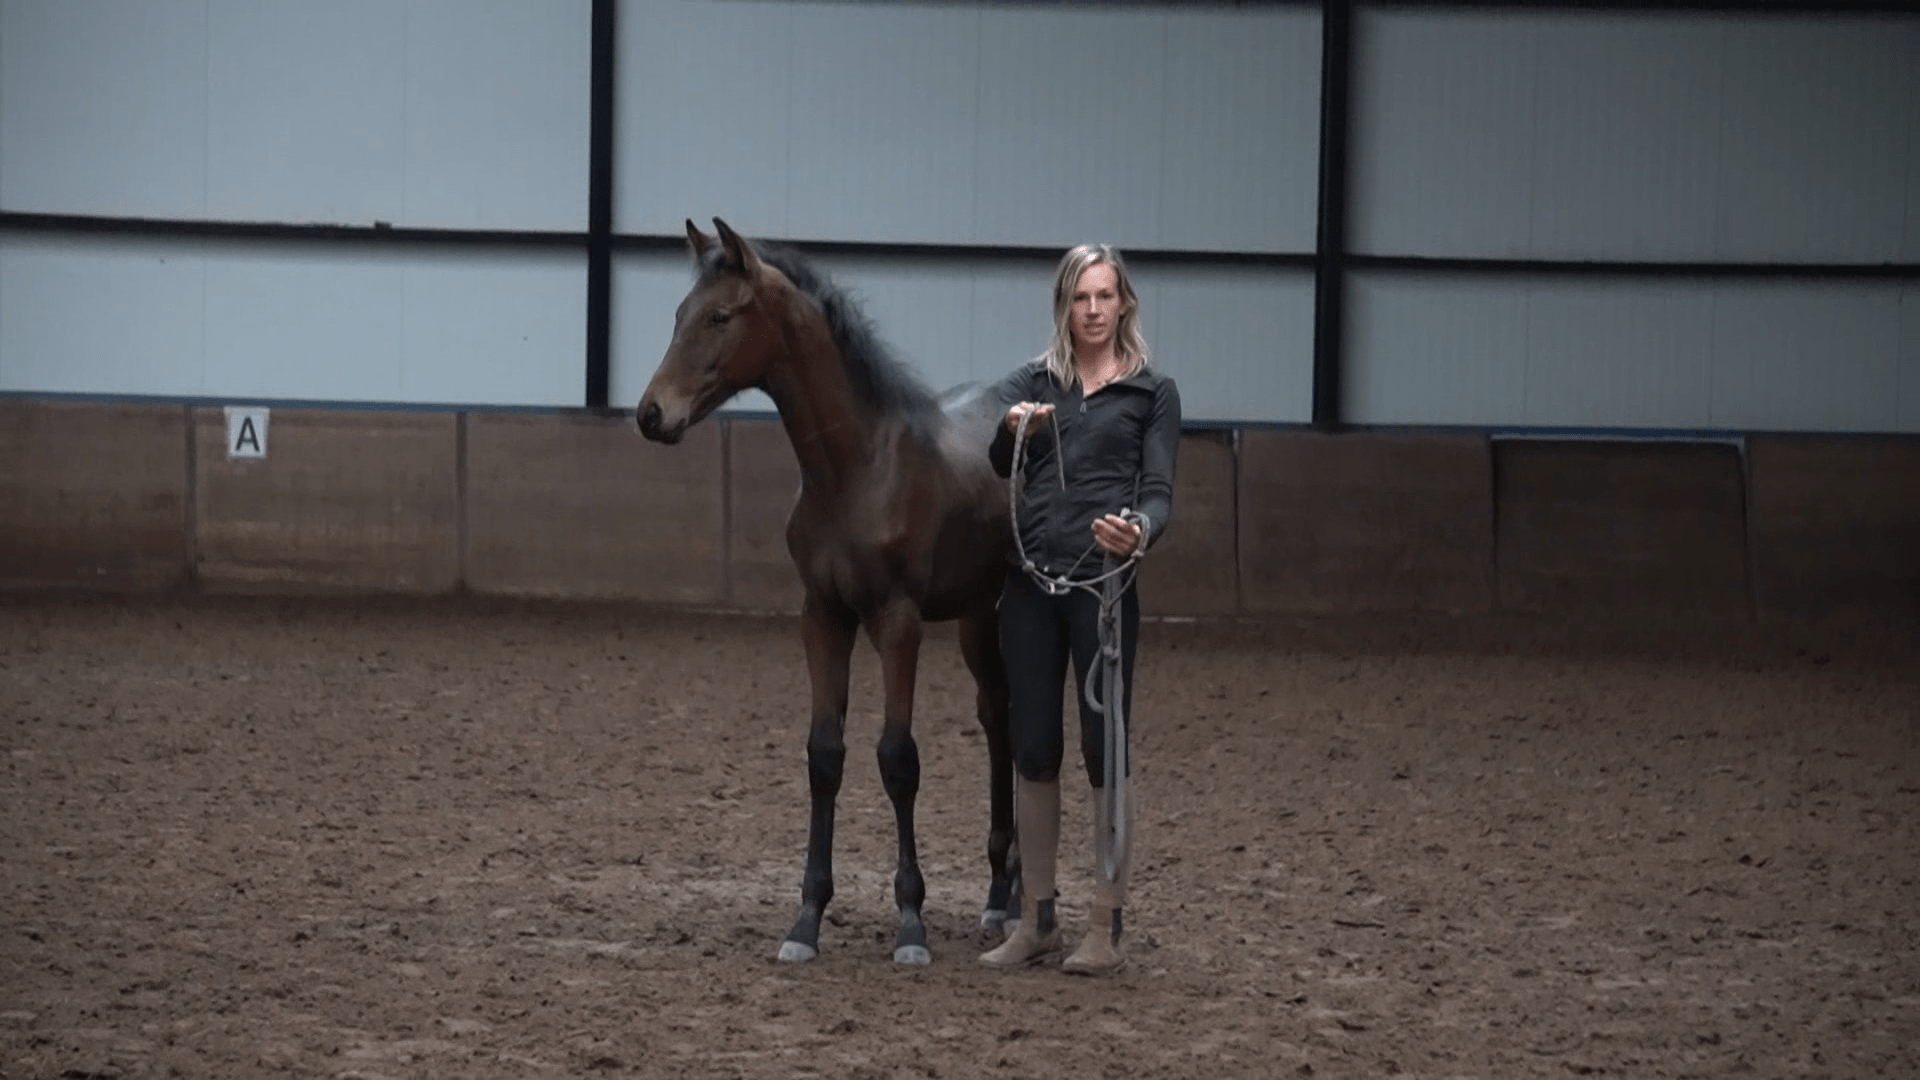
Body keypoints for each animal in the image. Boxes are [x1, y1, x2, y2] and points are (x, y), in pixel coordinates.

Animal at [636, 219, 1017, 965]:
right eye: (679, 314)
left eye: (720, 316)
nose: (651, 413)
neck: (857, 468)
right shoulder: (823, 617)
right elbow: (824, 755)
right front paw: (806, 920)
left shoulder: (897, 622)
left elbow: (898, 759)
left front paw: (910, 925)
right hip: (975, 619)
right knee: (998, 718)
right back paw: (997, 896)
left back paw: (1013, 901)